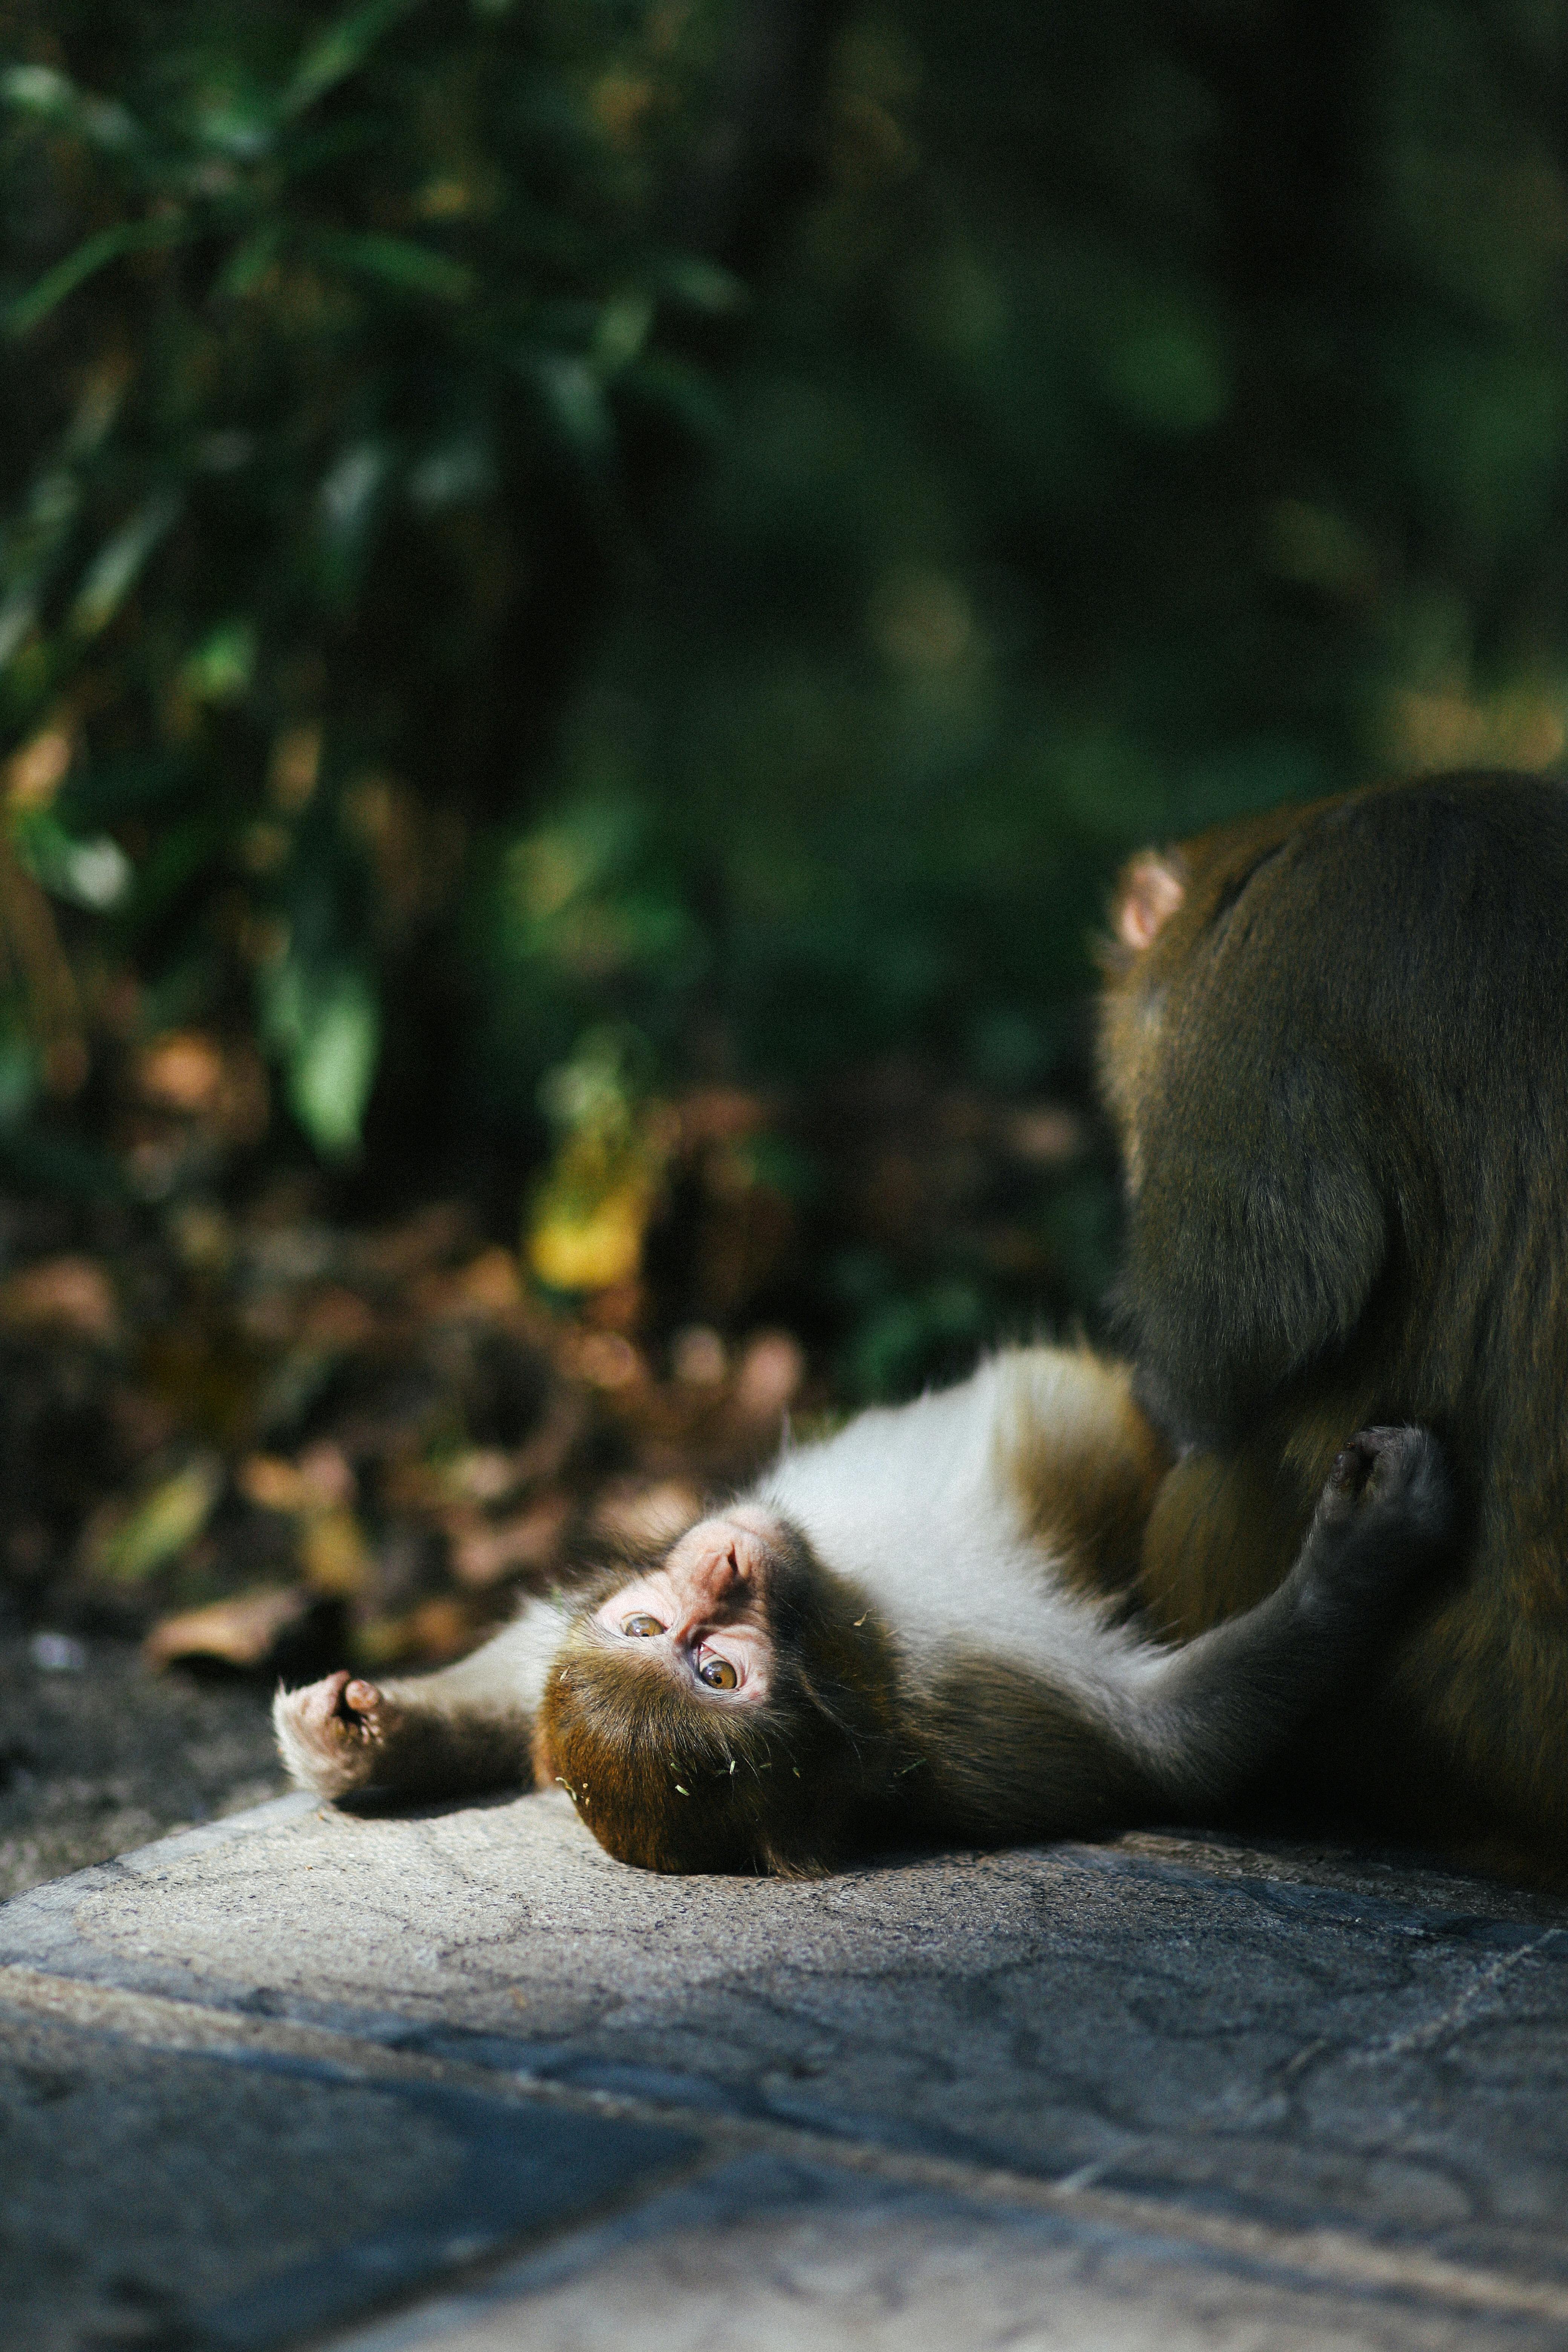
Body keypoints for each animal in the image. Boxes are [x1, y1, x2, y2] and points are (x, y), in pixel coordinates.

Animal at [274, 1343, 1450, 1874]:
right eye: (717, 1671)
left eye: (663, 1635)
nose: (724, 1566)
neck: (851, 1614)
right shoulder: (972, 1715)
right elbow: (1177, 1745)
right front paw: (1356, 1557)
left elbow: (534, 1654)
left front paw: (368, 1735)